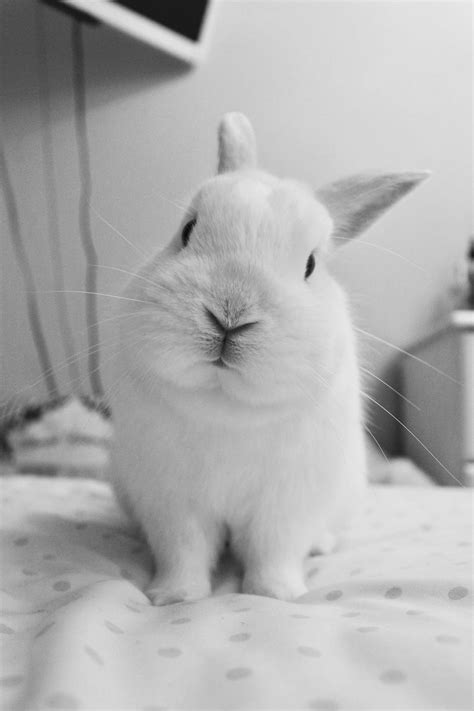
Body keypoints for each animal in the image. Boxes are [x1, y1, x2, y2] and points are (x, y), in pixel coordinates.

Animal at [108, 113, 429, 604]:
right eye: (186, 231)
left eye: (311, 265)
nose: (229, 314)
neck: (225, 406)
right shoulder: (172, 502)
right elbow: (183, 552)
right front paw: (174, 597)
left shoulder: (285, 505)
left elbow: (272, 551)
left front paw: (274, 595)